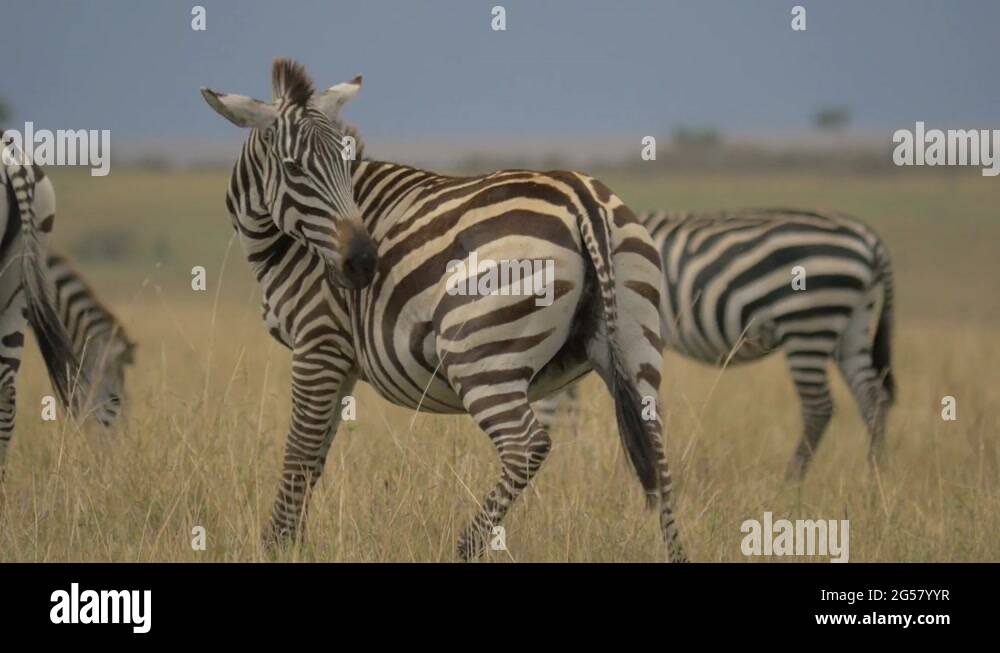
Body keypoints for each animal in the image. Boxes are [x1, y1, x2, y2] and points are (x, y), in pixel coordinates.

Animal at [200, 59, 685, 561]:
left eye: (345, 163)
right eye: (293, 168)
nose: (364, 263)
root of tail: (580, 196)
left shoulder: (319, 343)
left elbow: (299, 451)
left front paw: (276, 545)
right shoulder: (343, 362)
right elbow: (315, 457)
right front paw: (289, 542)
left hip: (482, 353)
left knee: (526, 444)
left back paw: (465, 546)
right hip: (636, 340)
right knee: (659, 458)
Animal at [534, 208, 895, 480]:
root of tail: (869, 240)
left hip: (808, 323)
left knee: (820, 407)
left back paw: (792, 480)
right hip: (852, 325)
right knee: (872, 397)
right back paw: (874, 477)